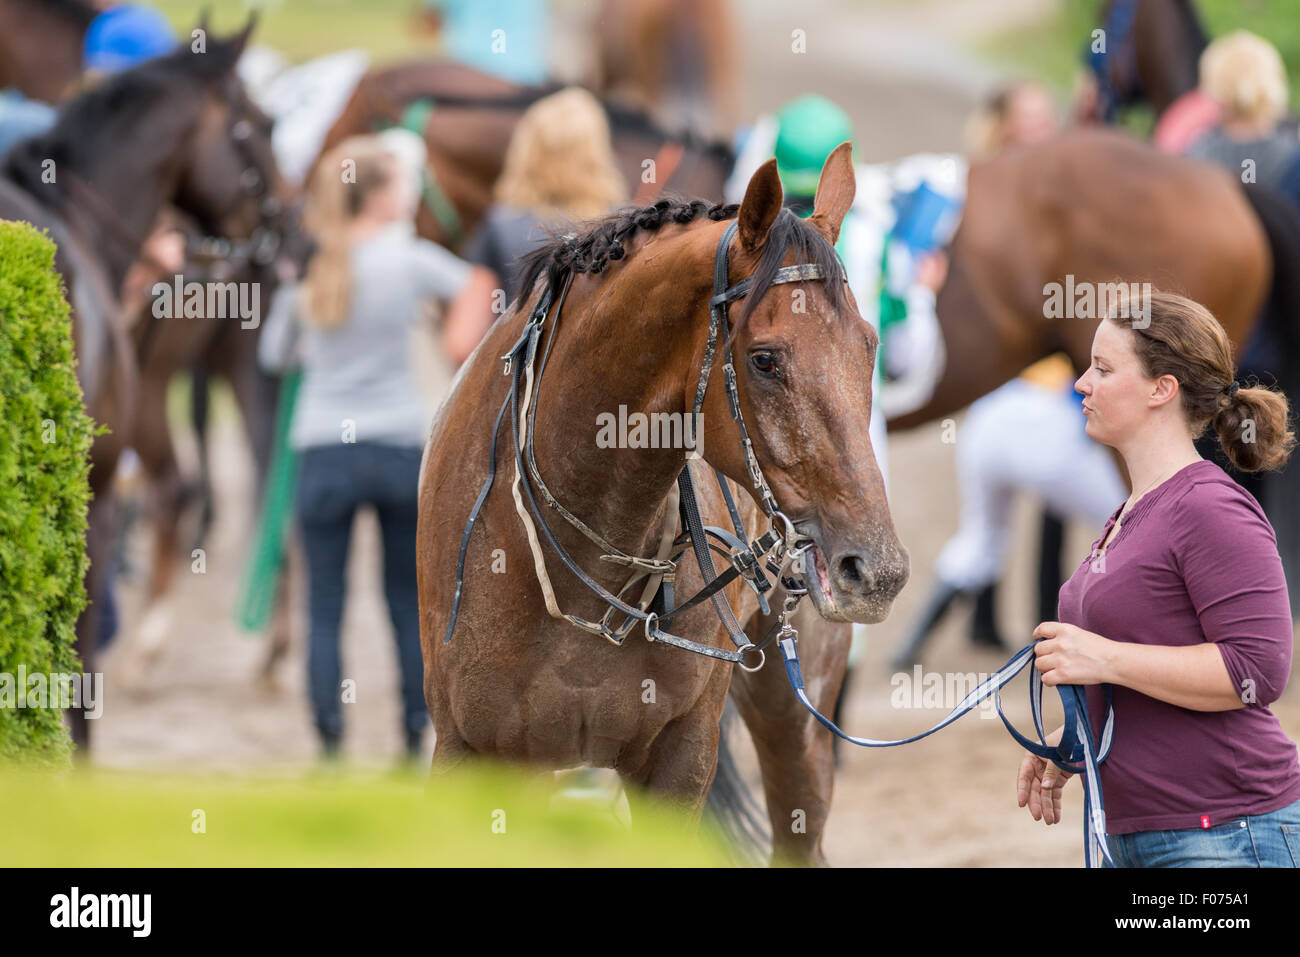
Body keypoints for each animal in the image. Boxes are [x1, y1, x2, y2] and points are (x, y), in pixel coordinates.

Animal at [416, 145, 909, 865]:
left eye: (868, 346)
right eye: (765, 359)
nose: (876, 569)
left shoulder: (679, 758)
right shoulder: (471, 751)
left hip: (798, 707)